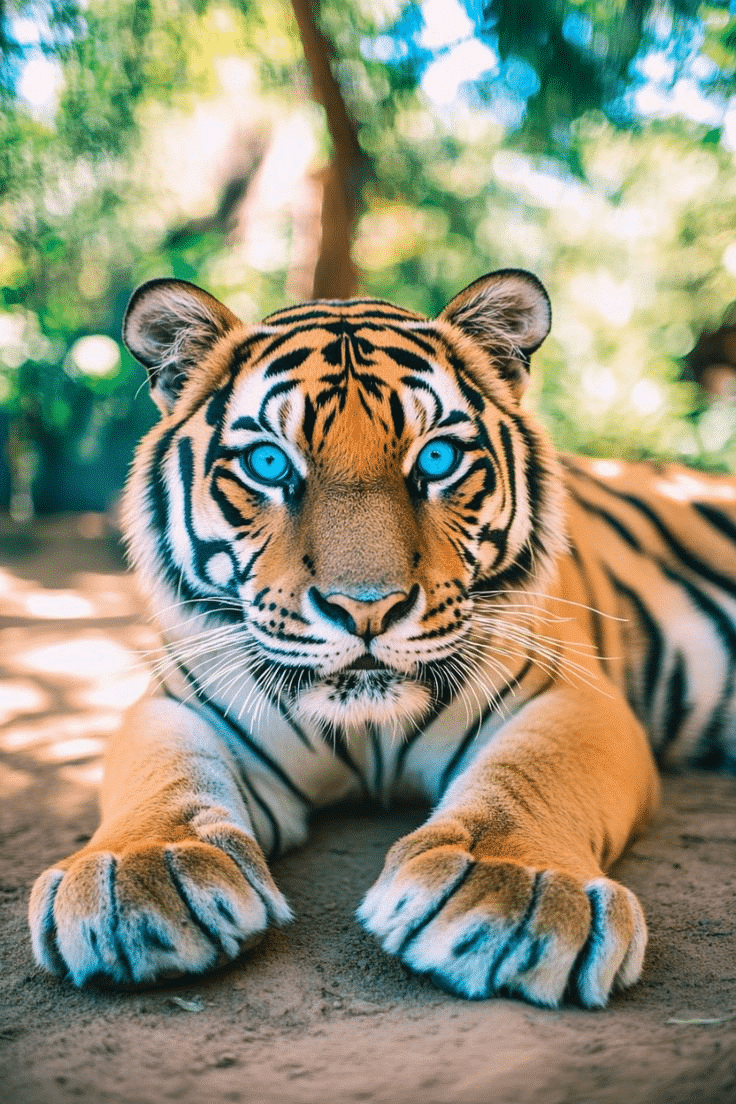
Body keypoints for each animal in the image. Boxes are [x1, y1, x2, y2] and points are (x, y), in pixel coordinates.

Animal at [28, 269, 736, 1008]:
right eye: (268, 463)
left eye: (438, 457)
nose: (366, 608)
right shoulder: (180, 704)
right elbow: (164, 775)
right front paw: (138, 877)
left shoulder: (569, 696)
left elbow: (533, 774)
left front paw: (515, 891)